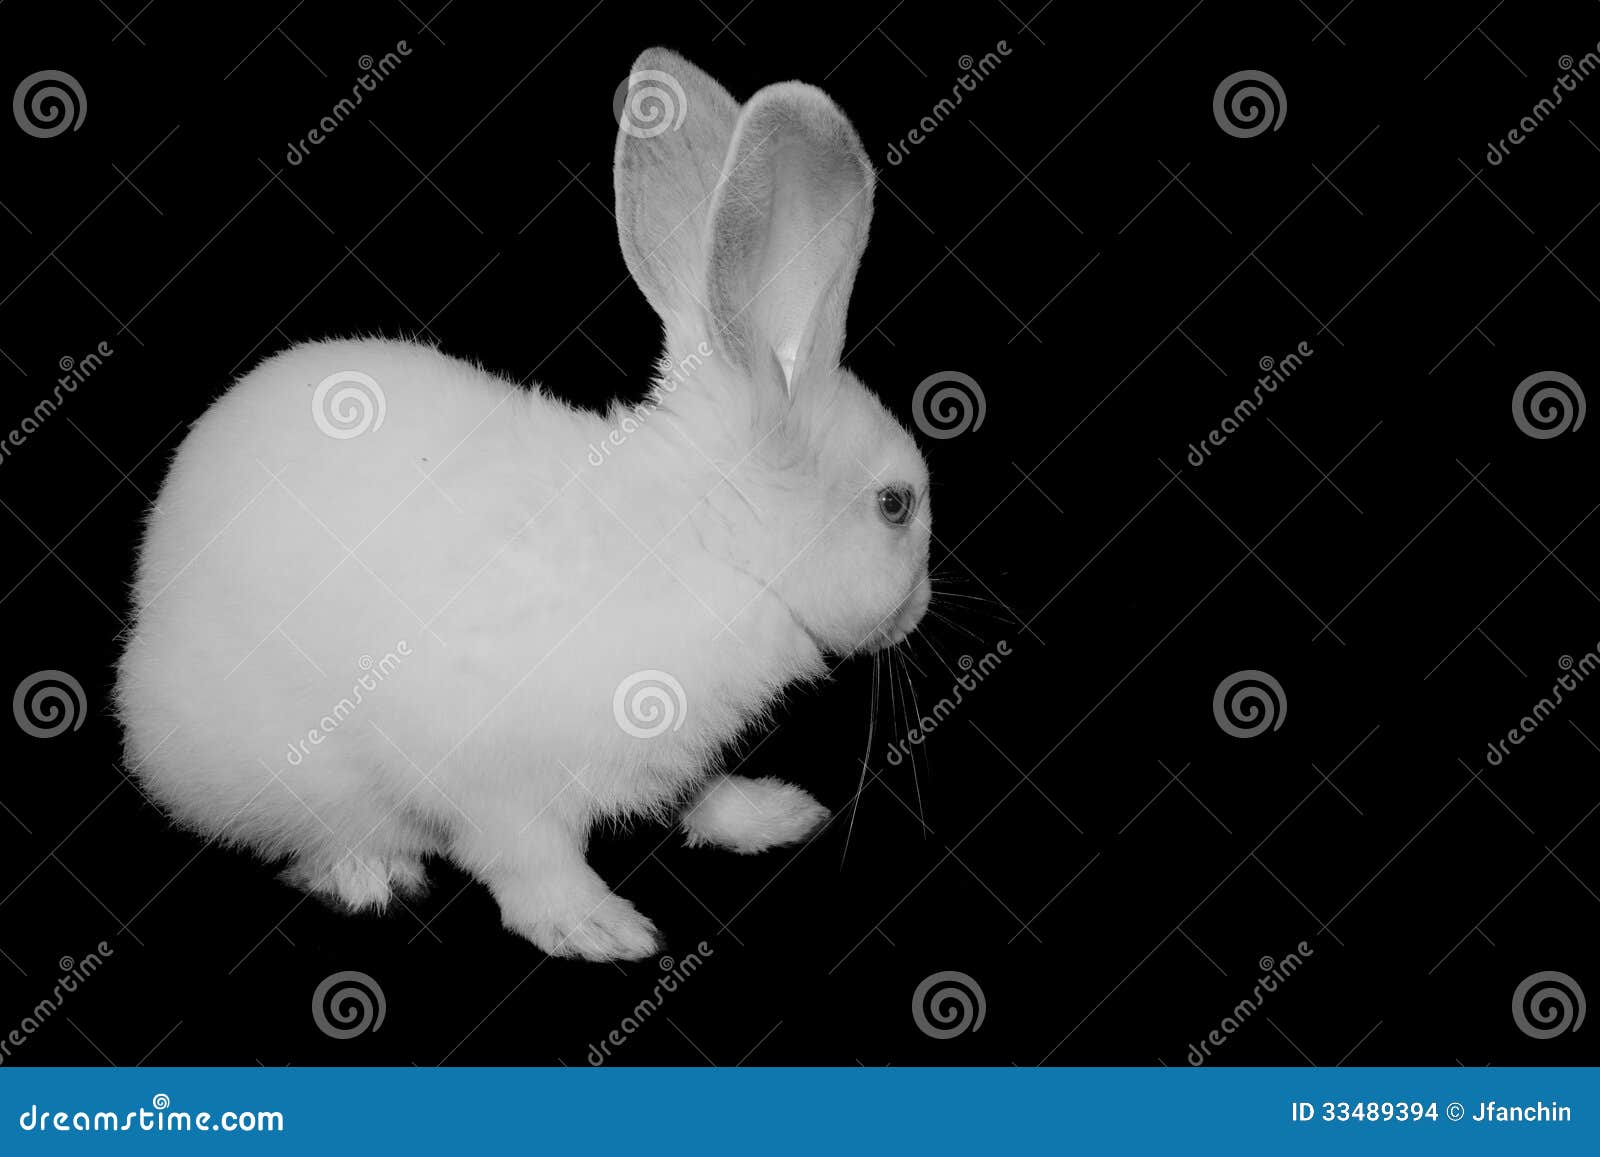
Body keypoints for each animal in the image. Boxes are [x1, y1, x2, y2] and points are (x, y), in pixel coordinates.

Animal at [114, 47, 932, 962]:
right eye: (896, 504)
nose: (920, 605)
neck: (708, 541)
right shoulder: (488, 780)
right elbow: (529, 861)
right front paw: (598, 928)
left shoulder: (675, 752)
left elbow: (701, 790)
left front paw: (771, 814)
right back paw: (369, 874)